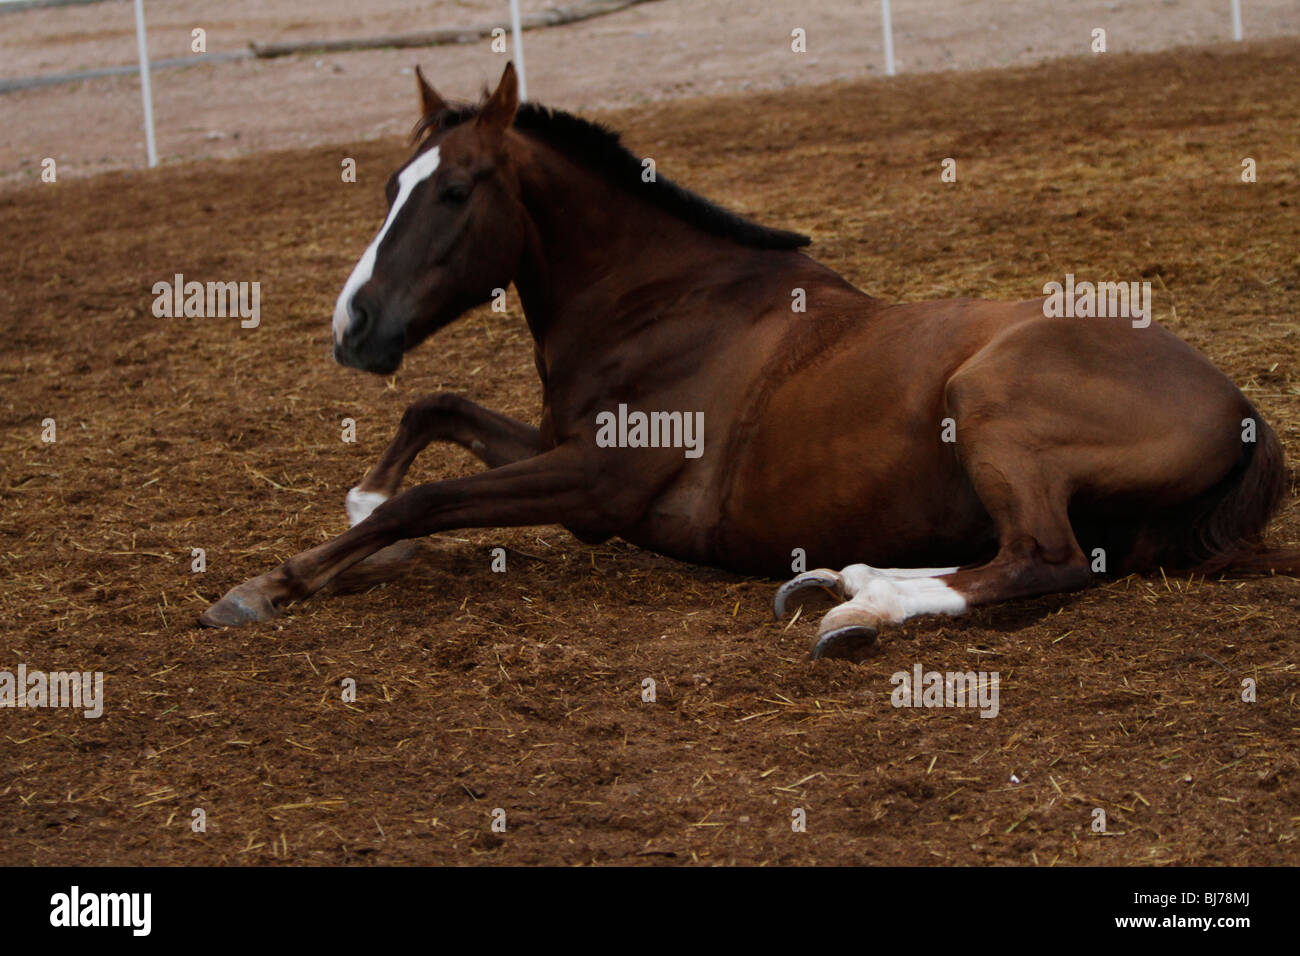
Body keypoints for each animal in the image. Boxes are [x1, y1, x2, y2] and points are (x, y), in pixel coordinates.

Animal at [199, 63, 1296, 660]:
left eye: (457, 190)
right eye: (391, 182)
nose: (354, 326)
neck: (667, 301)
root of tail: (1243, 407)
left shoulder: (598, 485)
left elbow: (423, 495)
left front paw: (274, 582)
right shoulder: (561, 445)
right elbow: (433, 409)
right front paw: (358, 524)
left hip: (988, 398)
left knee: (1045, 559)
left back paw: (860, 605)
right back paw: (842, 579)